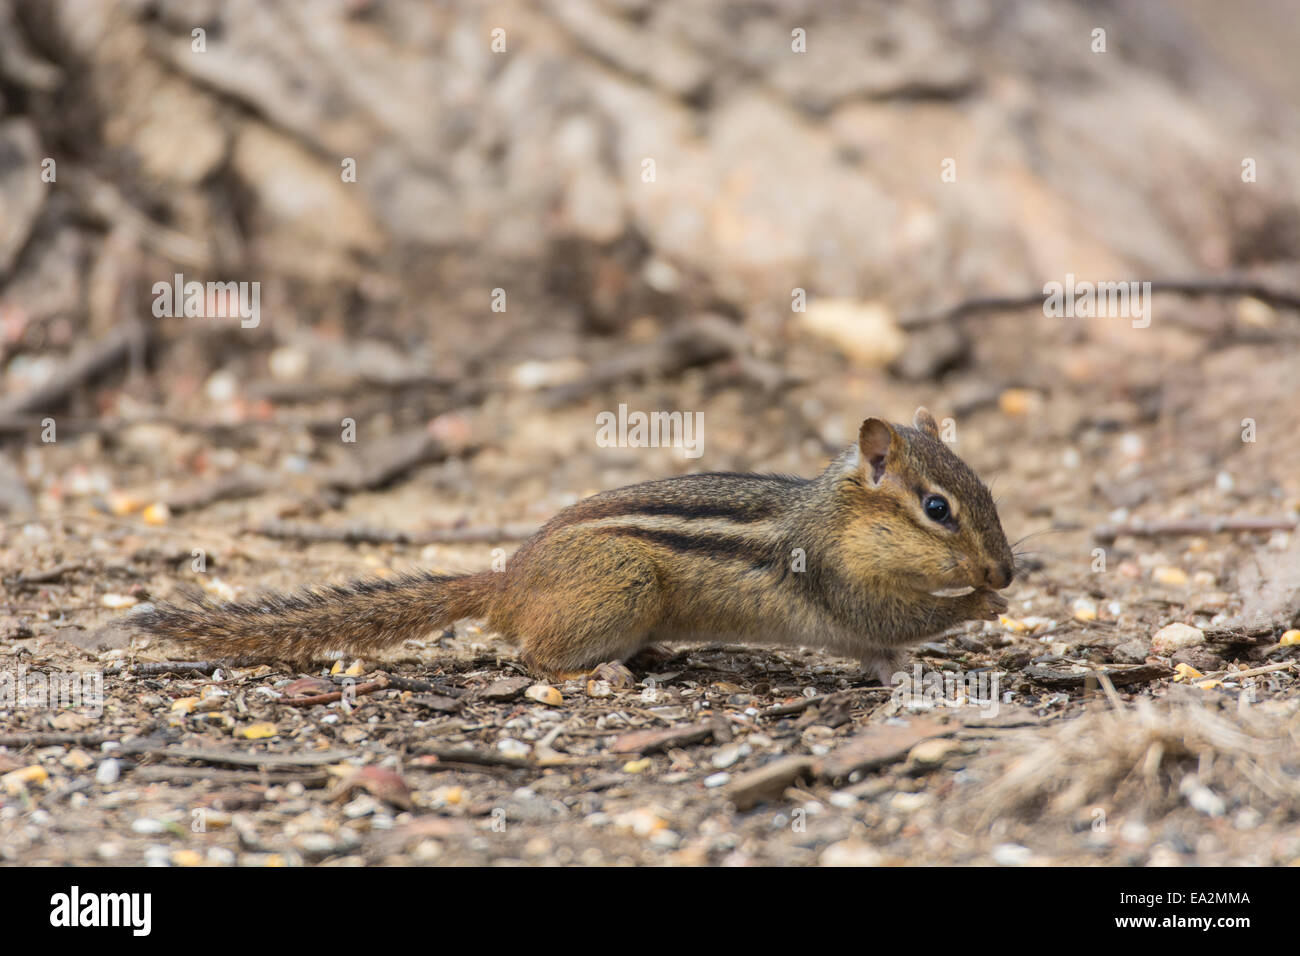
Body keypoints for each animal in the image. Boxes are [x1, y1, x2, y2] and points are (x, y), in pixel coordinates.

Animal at [135, 407, 1014, 685]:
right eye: (938, 509)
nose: (1006, 567)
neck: (837, 514)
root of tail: (508, 580)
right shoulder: (837, 579)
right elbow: (888, 617)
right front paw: (979, 601)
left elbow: (885, 649)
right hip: (620, 587)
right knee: (535, 656)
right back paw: (606, 673)